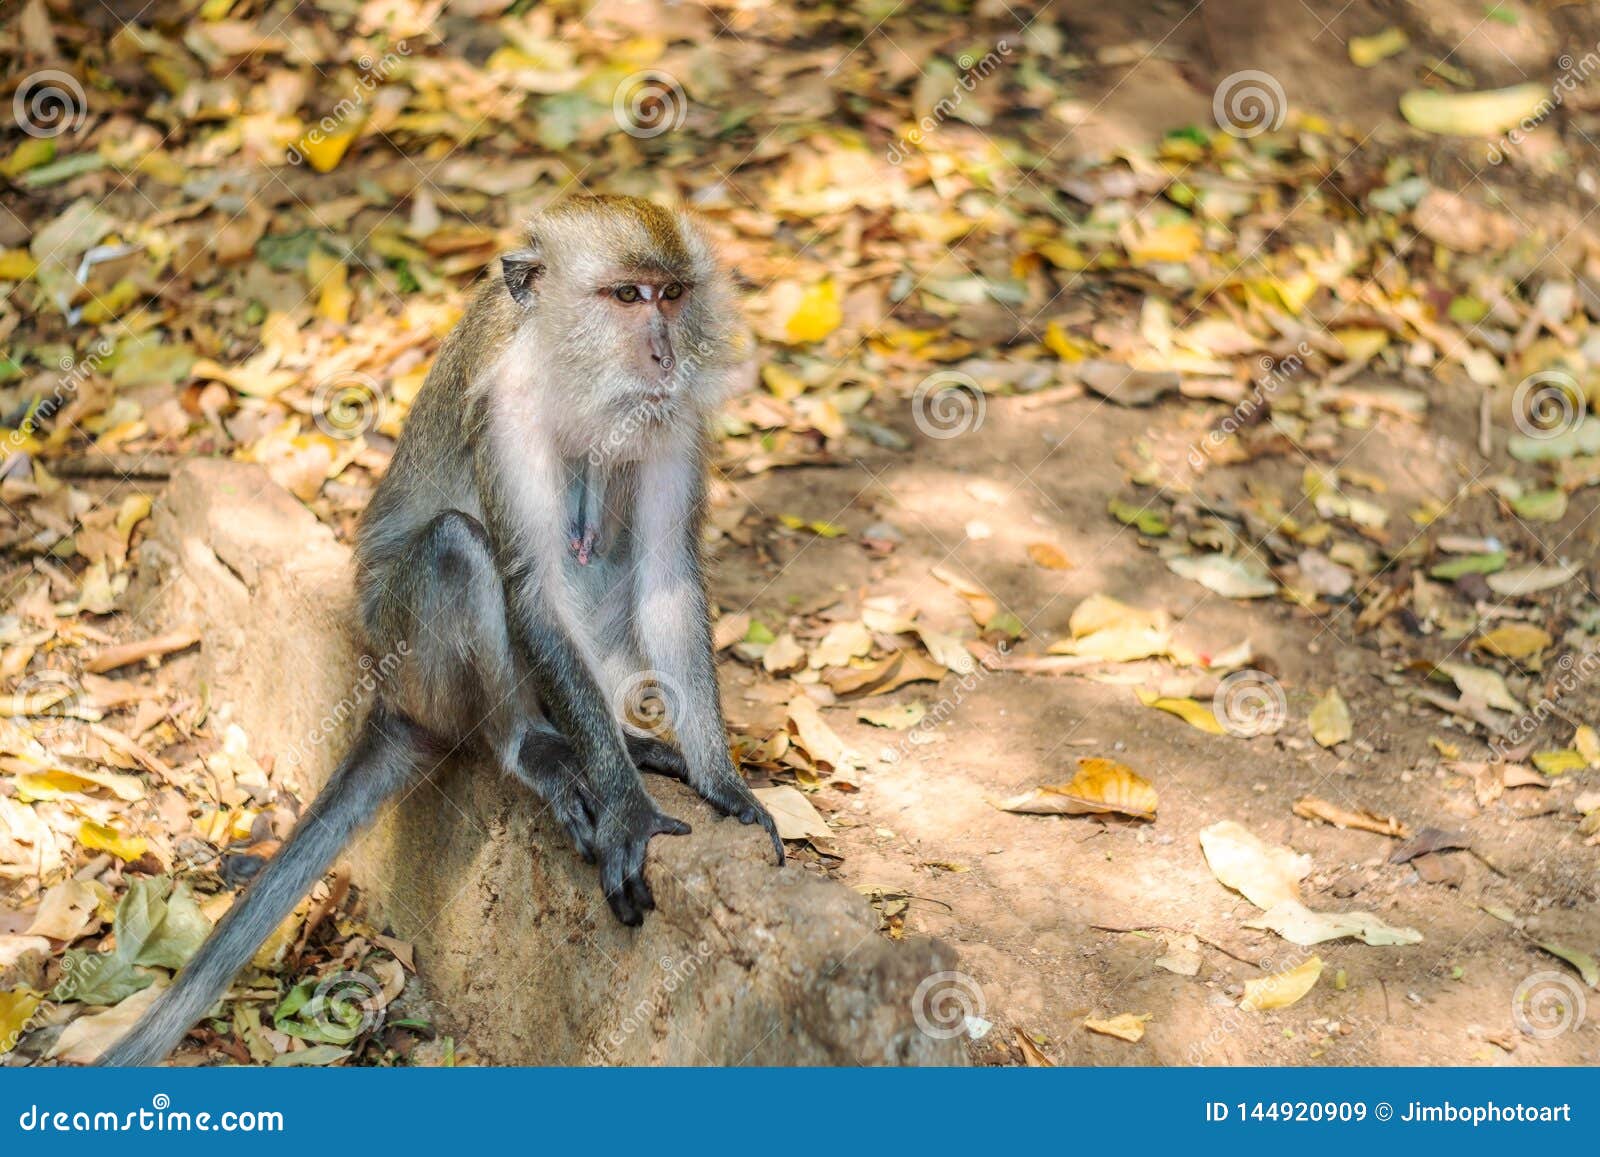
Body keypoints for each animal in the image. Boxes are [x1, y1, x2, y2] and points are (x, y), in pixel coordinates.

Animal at [99, 195, 782, 1067]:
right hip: (411, 660)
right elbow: (530, 585)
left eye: (671, 294)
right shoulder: (506, 413)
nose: (662, 351)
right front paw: (628, 807)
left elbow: (666, 580)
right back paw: (537, 745)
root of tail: (389, 701)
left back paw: (628, 741)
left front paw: (720, 780)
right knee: (458, 547)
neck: (568, 372)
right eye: (626, 297)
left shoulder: (674, 414)